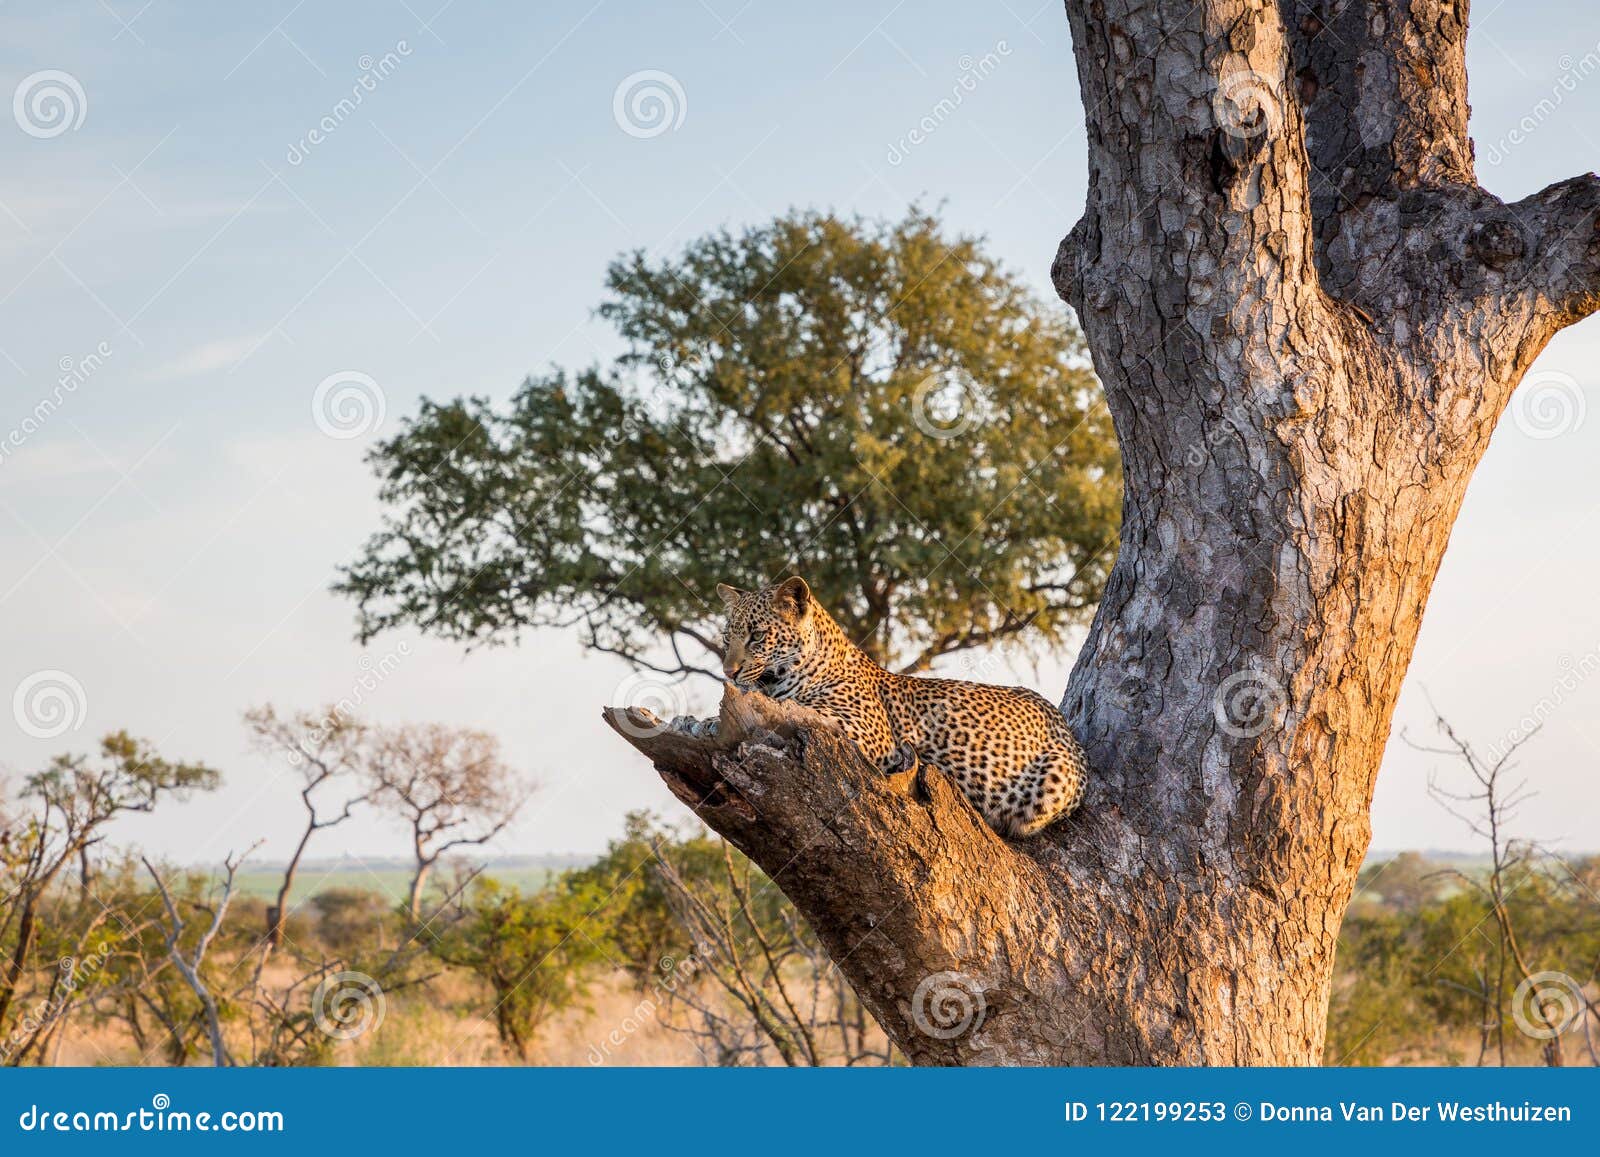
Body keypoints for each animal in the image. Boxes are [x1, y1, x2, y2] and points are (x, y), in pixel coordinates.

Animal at [712, 575, 1088, 838]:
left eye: (757, 636)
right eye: (726, 638)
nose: (728, 672)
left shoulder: (868, 735)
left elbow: (802, 713)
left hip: (1053, 784)